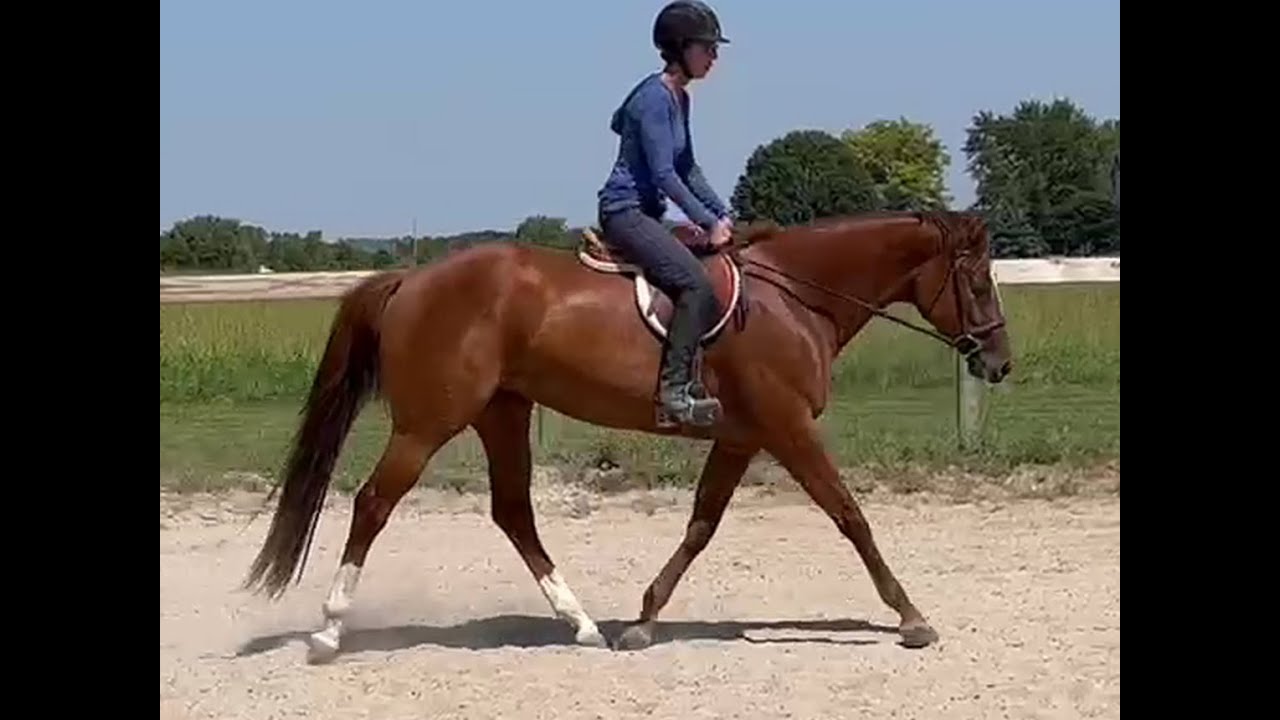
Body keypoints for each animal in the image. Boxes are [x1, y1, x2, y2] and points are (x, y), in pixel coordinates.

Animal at [241, 209, 1013, 664]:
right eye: (977, 281)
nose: (999, 363)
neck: (796, 296)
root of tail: (411, 278)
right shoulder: (789, 428)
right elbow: (851, 516)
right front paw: (912, 616)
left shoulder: (742, 437)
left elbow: (701, 525)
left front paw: (643, 620)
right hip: (431, 421)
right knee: (374, 502)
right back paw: (329, 630)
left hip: (503, 413)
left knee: (513, 512)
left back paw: (582, 624)